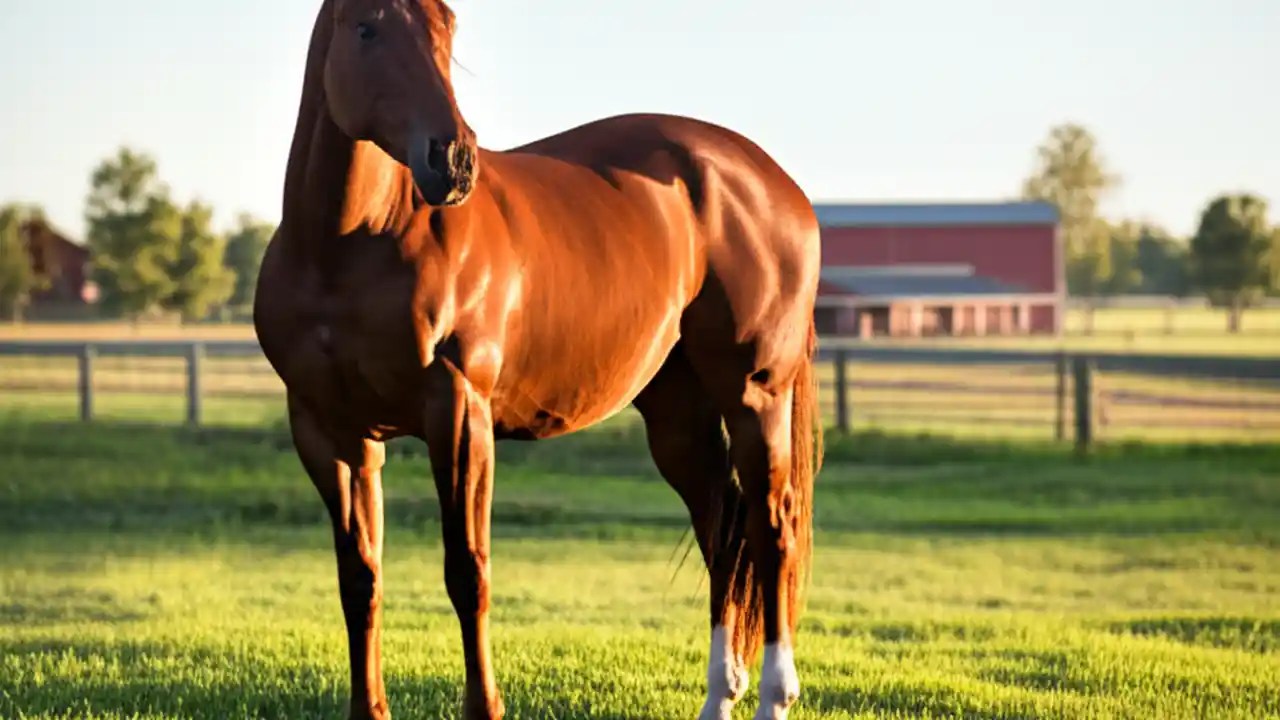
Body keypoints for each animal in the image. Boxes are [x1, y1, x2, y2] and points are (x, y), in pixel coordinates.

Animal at [252, 1, 824, 718]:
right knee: (722, 531)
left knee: (772, 531)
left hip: (754, 393)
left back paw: (774, 693)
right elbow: (360, 578)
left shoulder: (459, 416)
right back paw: (719, 696)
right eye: (365, 29)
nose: (454, 160)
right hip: (679, 416)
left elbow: (467, 571)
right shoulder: (332, 433)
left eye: (446, 31)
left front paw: (485, 706)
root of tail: (772, 183)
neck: (350, 247)